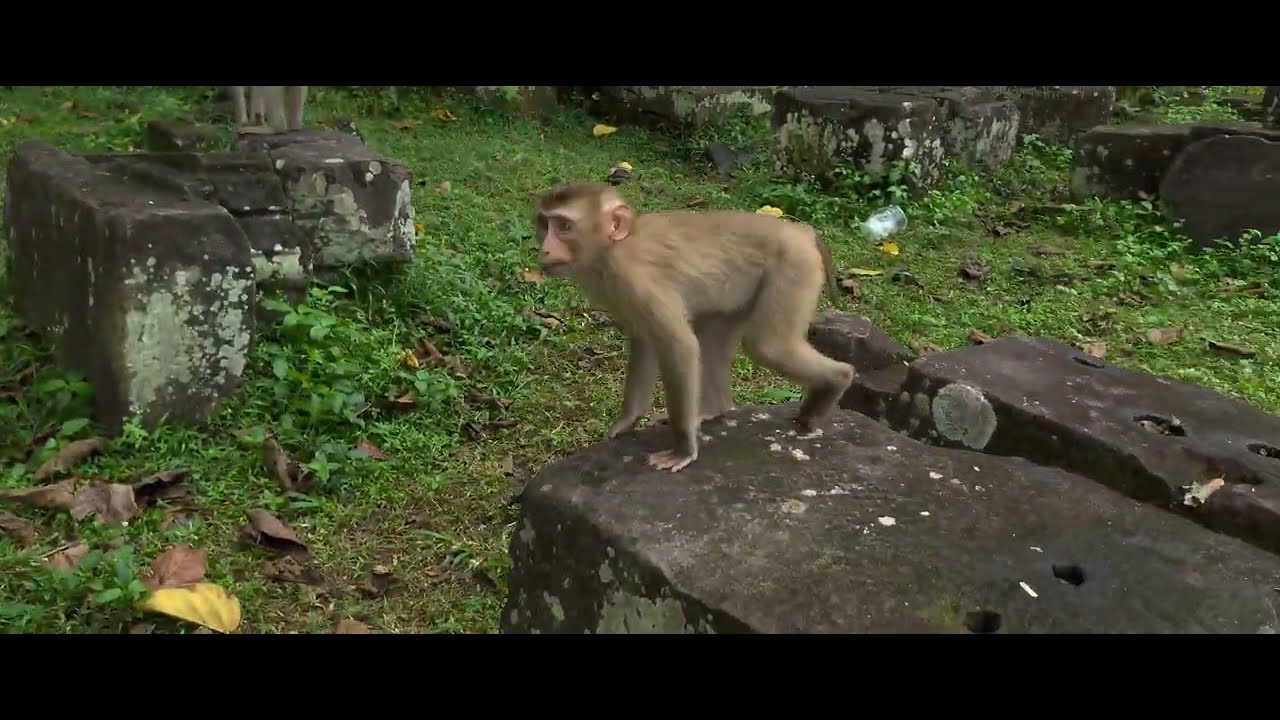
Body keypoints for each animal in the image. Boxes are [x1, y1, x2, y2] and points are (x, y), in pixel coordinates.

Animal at [534, 182, 856, 474]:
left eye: (564, 226)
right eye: (544, 225)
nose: (545, 250)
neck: (610, 249)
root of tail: (801, 232)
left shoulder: (635, 279)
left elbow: (679, 345)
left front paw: (683, 449)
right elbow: (645, 340)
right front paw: (627, 420)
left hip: (793, 267)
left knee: (769, 346)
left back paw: (836, 383)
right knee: (713, 335)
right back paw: (713, 410)